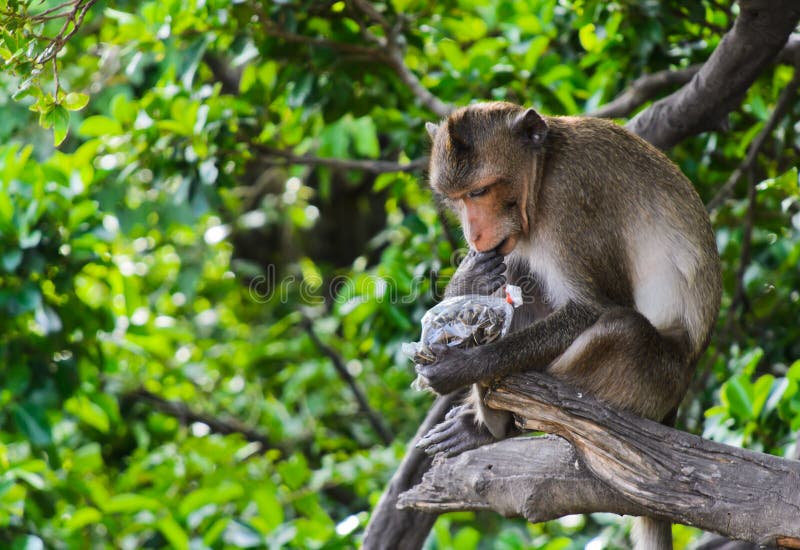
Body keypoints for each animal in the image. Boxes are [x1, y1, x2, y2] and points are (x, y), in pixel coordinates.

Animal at [414, 102, 721, 550]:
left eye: (478, 192)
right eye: (456, 199)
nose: (473, 233)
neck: (542, 172)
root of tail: (675, 402)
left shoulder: (570, 199)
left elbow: (595, 308)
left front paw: (463, 365)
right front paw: (467, 281)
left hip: (652, 383)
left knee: (621, 329)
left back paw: (497, 421)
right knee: (522, 268)